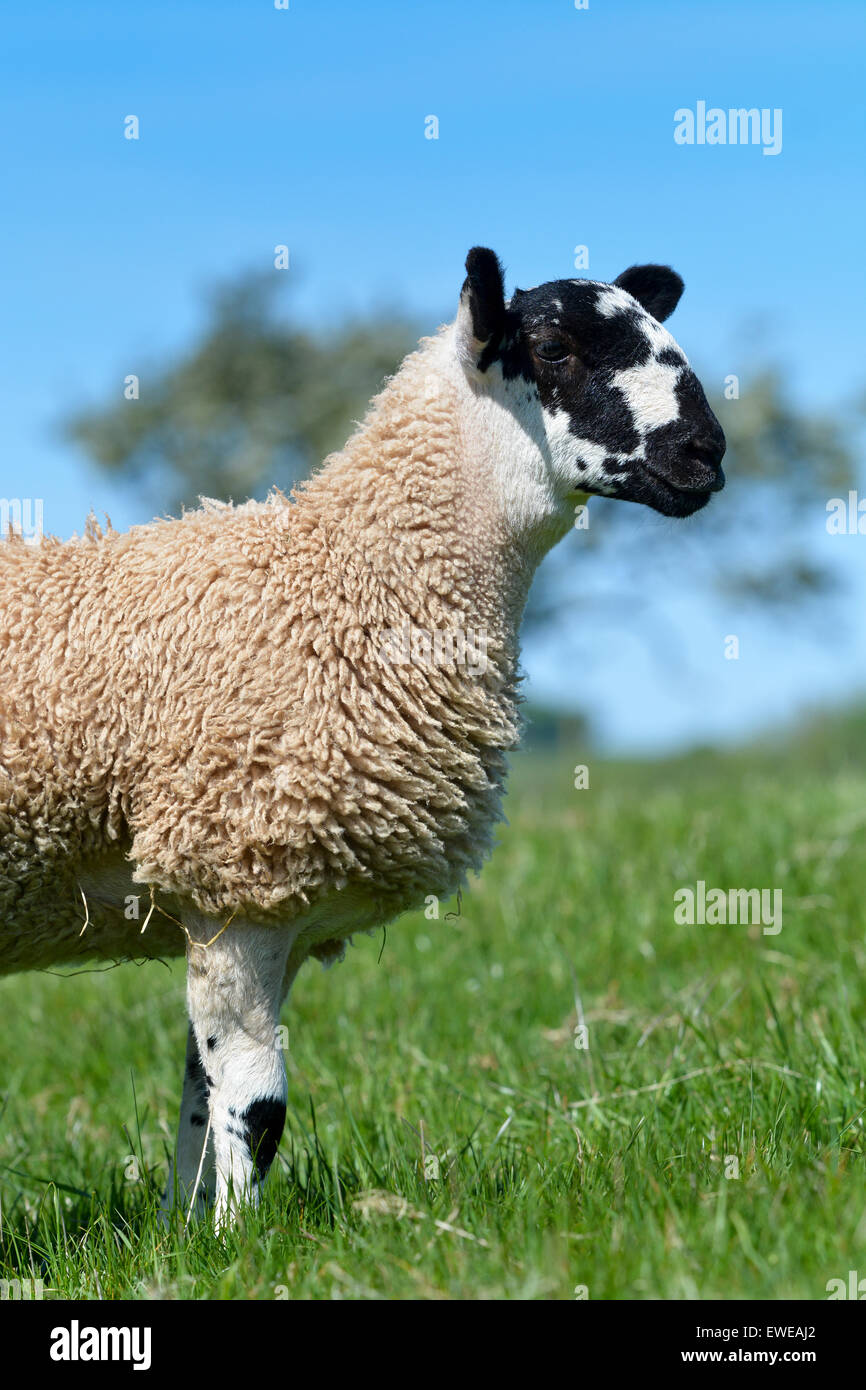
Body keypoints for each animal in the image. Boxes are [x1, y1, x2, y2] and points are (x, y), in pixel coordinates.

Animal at [0, 248, 726, 1221]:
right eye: (554, 348)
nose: (706, 454)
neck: (349, 572)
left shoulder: (237, 900)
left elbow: (197, 1100)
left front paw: (185, 1234)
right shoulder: (243, 875)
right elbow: (255, 1103)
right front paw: (240, 1241)